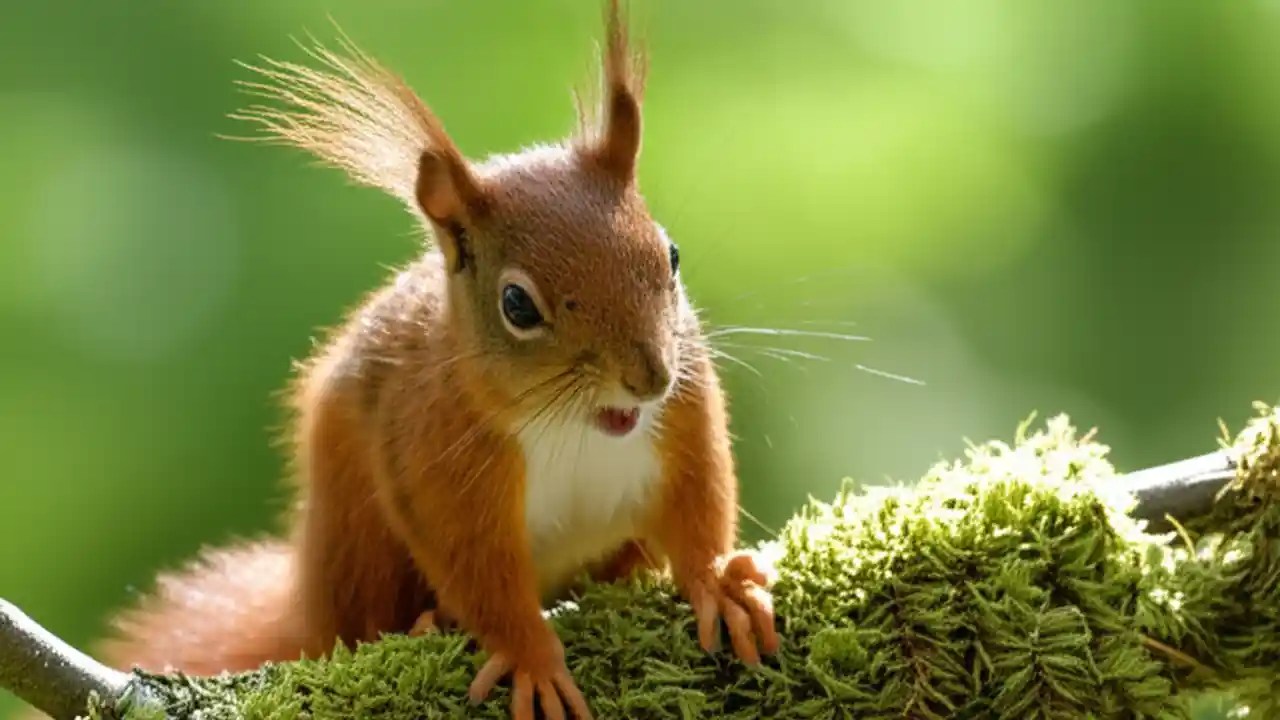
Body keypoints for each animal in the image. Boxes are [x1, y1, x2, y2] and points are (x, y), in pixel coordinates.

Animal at [48, 3, 781, 720]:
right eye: (518, 305)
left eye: (671, 255)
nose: (649, 377)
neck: (576, 426)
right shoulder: (436, 458)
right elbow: (480, 572)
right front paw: (530, 657)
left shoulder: (686, 414)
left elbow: (700, 499)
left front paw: (715, 581)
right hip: (357, 544)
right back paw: (425, 622)